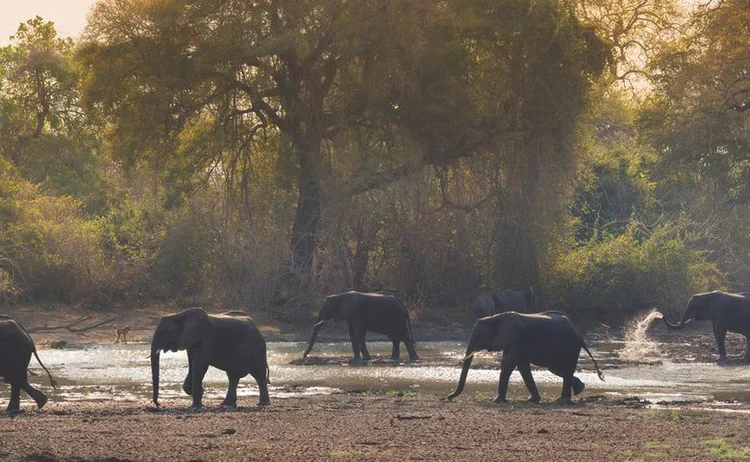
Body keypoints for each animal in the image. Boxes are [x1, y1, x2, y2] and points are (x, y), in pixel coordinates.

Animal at [446, 311, 604, 404]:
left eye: (478, 335)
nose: (447, 397)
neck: (496, 317)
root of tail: (580, 334)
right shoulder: (514, 342)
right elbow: (522, 366)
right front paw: (532, 400)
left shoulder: (517, 339)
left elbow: (508, 364)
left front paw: (496, 400)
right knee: (558, 370)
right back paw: (578, 390)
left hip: (570, 346)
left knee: (564, 369)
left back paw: (564, 400)